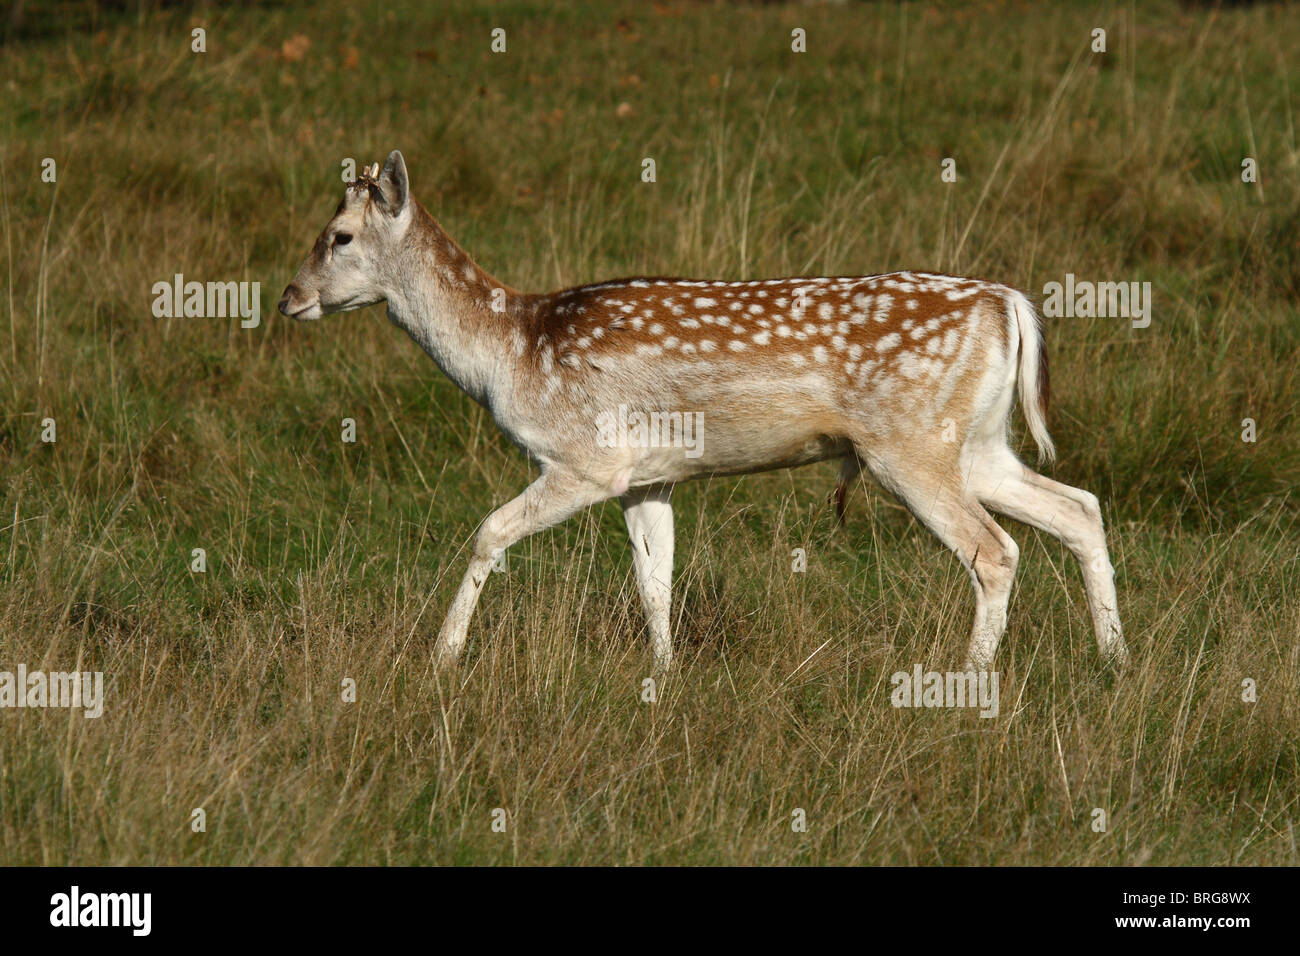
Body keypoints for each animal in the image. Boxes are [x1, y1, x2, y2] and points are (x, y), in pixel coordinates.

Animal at [279, 150, 1127, 675]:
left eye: (339, 236)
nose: (287, 297)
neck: (513, 351)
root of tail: (1008, 303)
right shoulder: (646, 477)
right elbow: (655, 578)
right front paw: (663, 676)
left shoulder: (585, 459)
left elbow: (488, 530)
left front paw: (443, 656)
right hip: (977, 442)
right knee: (1079, 506)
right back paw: (1113, 659)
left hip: (910, 444)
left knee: (995, 550)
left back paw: (969, 679)